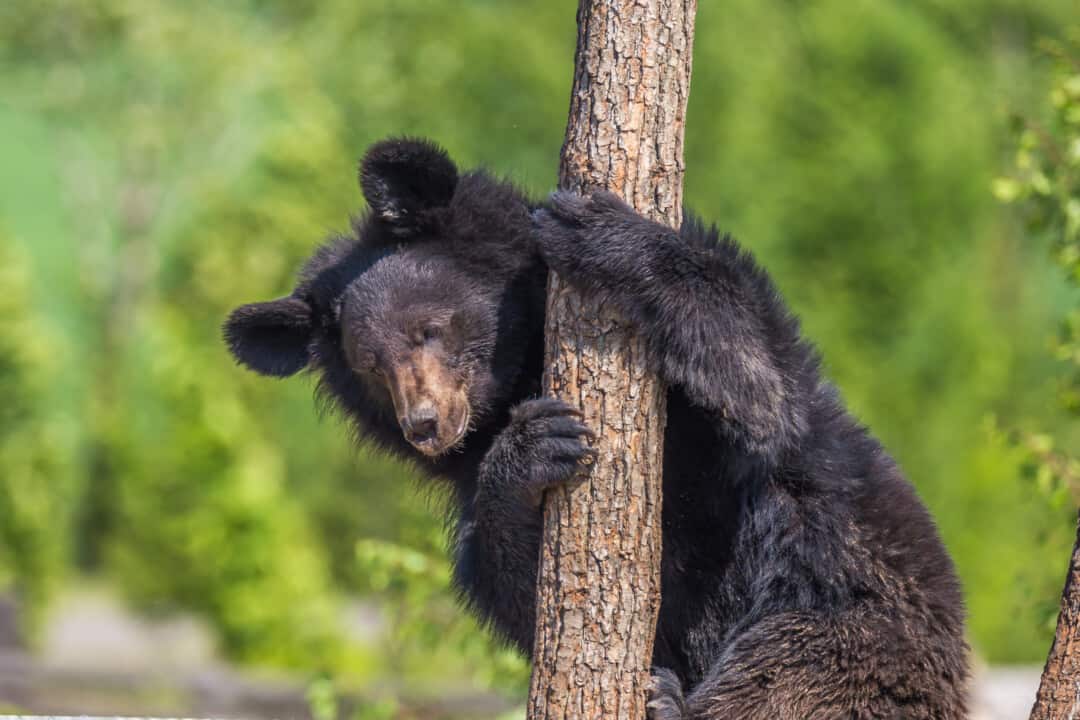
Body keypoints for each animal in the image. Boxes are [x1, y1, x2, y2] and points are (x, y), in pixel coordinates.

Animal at [224, 137, 969, 719]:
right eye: (370, 366)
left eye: (427, 328)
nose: (425, 426)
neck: (522, 367)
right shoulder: (470, 488)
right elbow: (516, 585)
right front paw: (533, 448)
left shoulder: (737, 425)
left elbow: (756, 388)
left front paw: (594, 230)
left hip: (869, 622)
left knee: (797, 670)